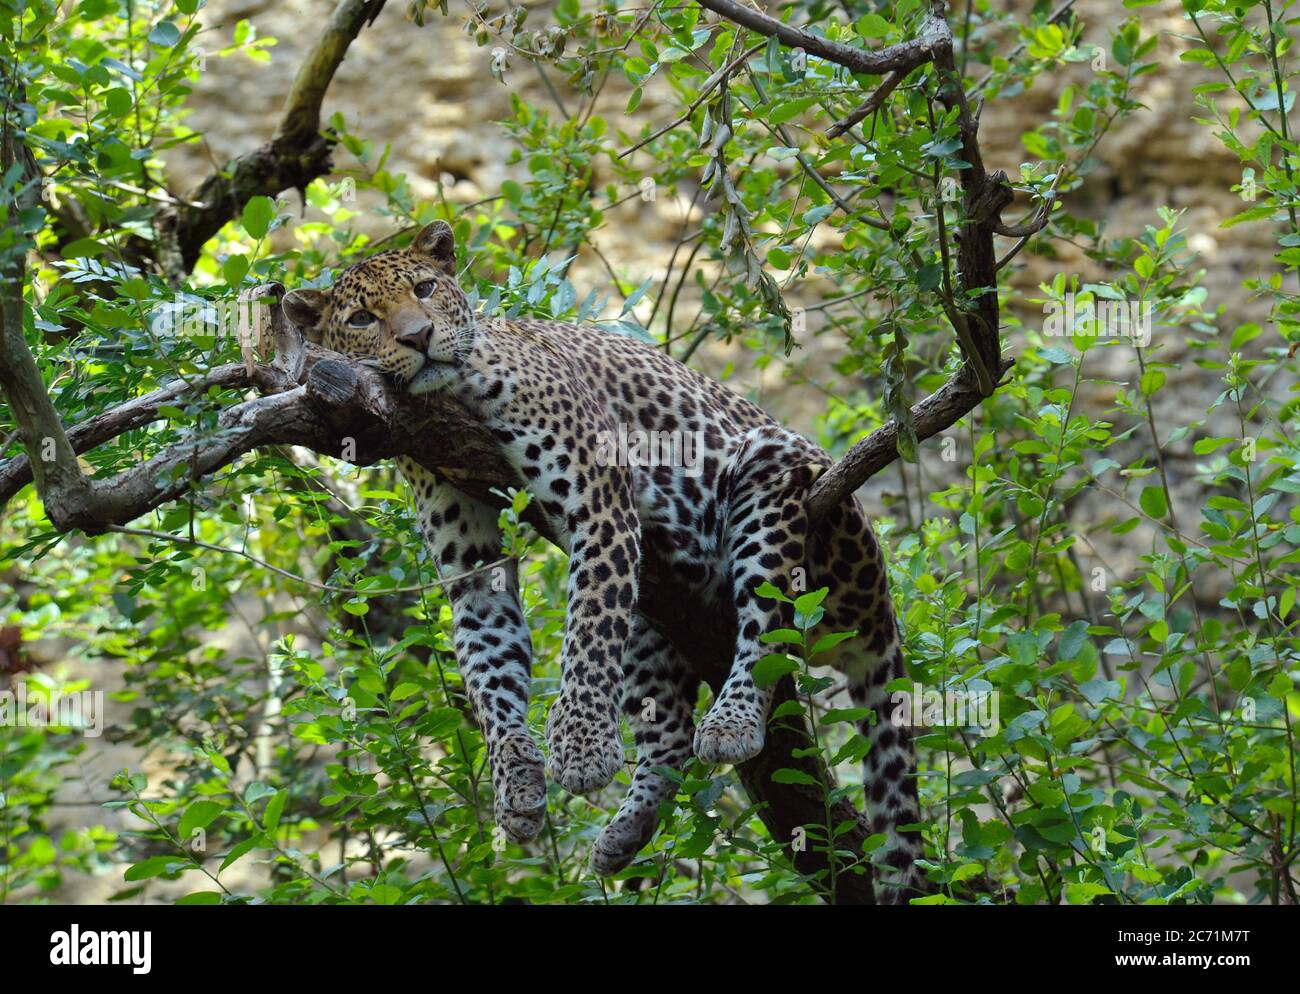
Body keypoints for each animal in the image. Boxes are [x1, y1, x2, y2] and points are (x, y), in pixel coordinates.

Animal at [282, 220, 924, 903]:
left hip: (779, 478)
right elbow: (490, 675)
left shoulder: (599, 499)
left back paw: (732, 722)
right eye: (361, 318)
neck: (449, 404)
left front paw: (580, 747)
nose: (417, 337)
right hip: (652, 615)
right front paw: (518, 787)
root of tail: (883, 608)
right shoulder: (472, 566)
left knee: (768, 630)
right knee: (669, 731)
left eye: (425, 289)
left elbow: (588, 631)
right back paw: (623, 836)